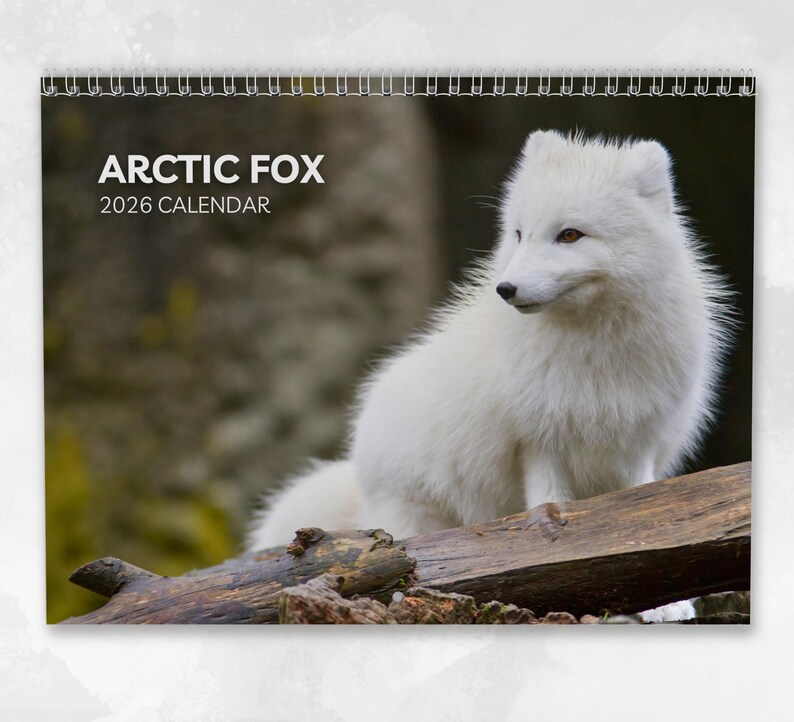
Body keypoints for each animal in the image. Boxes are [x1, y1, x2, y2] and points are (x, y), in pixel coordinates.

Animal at [247, 130, 732, 621]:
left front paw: (665, 605)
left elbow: (643, 508)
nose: (505, 289)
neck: (593, 348)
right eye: (518, 233)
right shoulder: (537, 439)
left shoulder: (636, 439)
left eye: (570, 235)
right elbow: (549, 504)